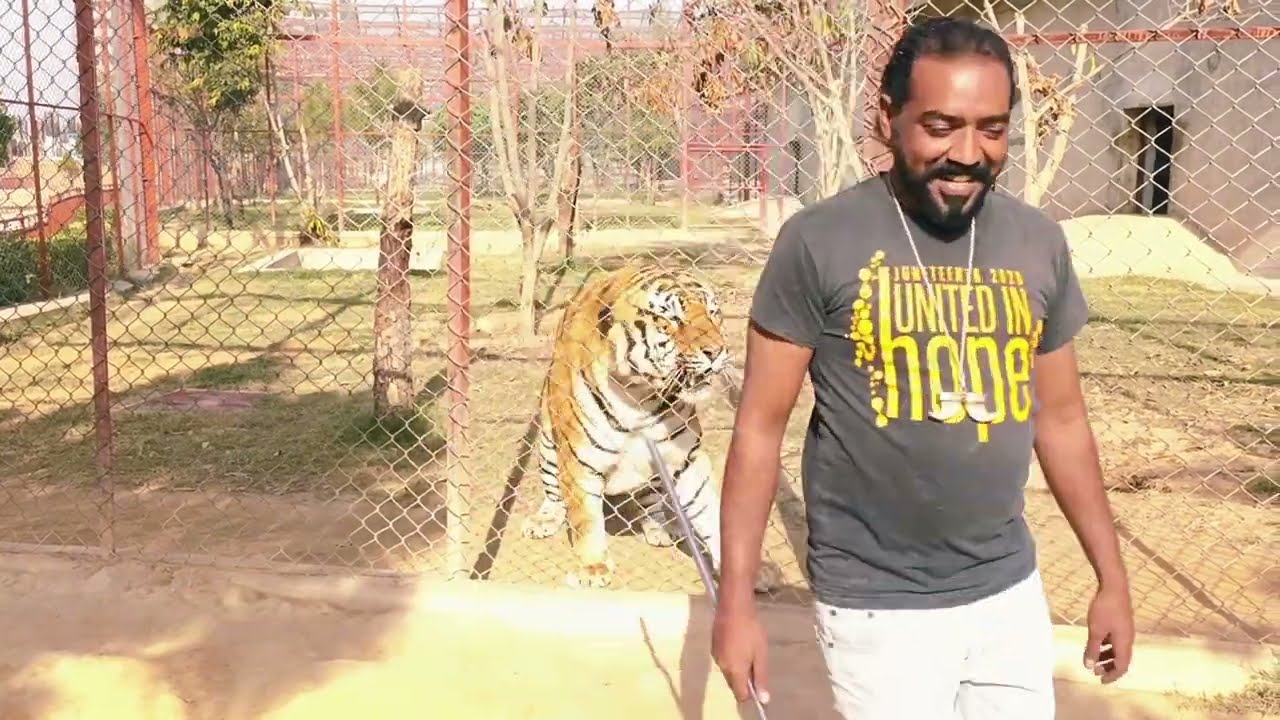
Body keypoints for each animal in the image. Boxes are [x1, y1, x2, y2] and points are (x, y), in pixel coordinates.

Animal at [520, 263, 781, 593]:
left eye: (713, 312)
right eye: (672, 320)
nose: (716, 351)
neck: (639, 397)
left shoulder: (686, 457)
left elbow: (710, 510)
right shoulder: (581, 460)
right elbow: (585, 518)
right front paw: (593, 567)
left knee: (651, 502)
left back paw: (662, 527)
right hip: (547, 441)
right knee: (554, 490)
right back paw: (544, 520)